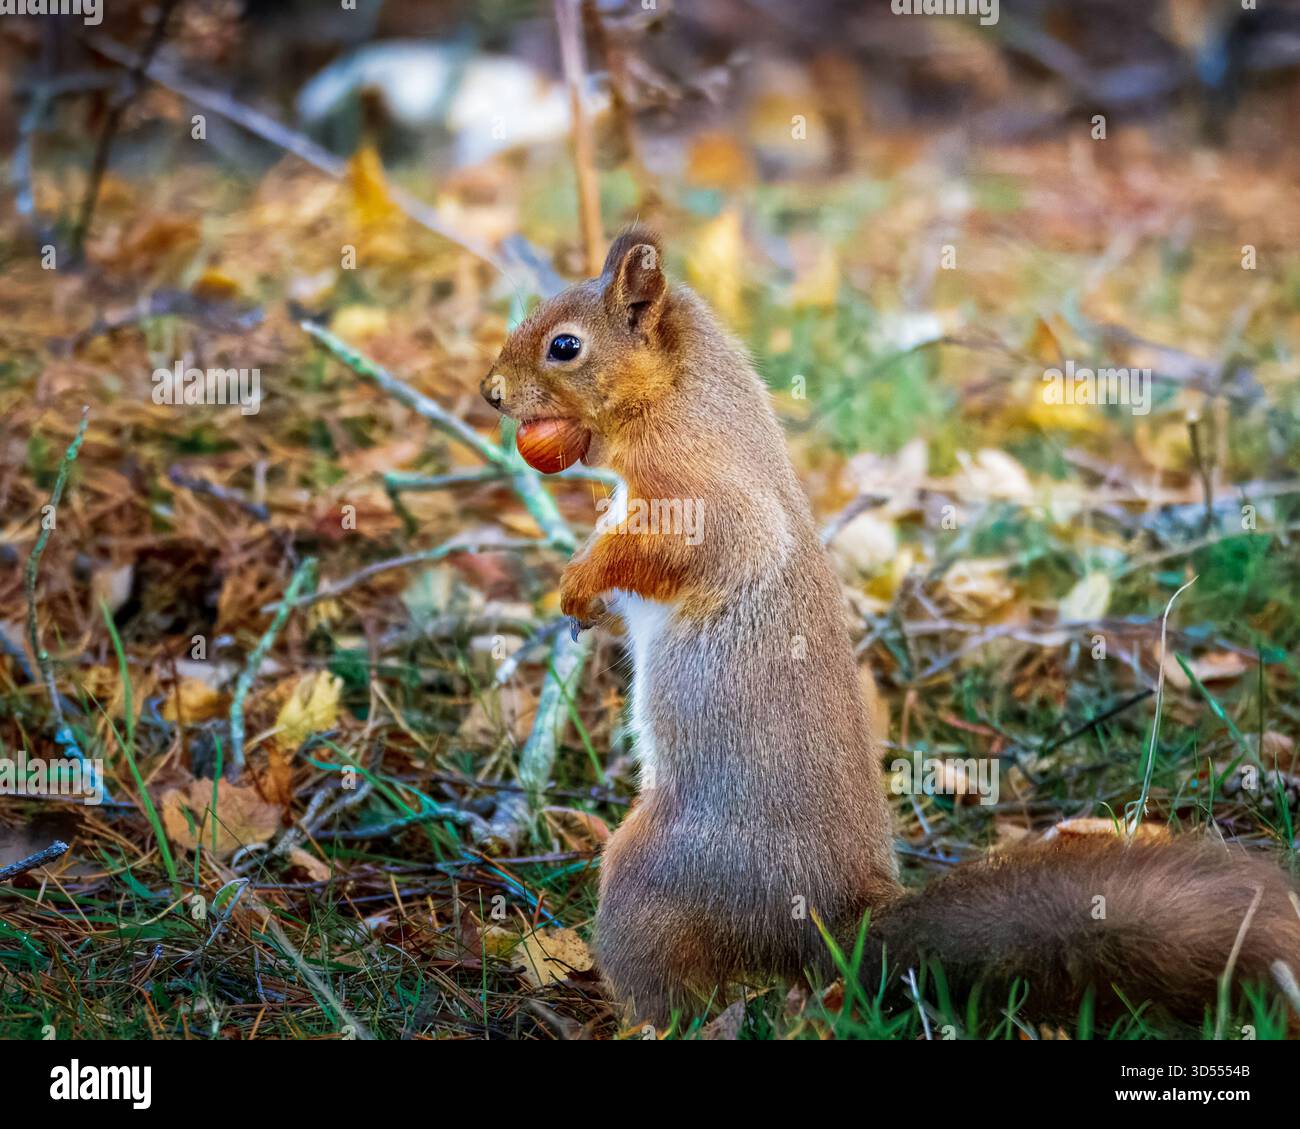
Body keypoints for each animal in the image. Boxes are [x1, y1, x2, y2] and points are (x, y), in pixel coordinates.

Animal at [483, 226, 1300, 1029]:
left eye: (565, 346)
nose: (490, 392)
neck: (683, 400)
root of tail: (831, 922)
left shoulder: (704, 495)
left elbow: (674, 548)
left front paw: (580, 579)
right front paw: (585, 600)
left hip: (653, 879)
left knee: (673, 993)